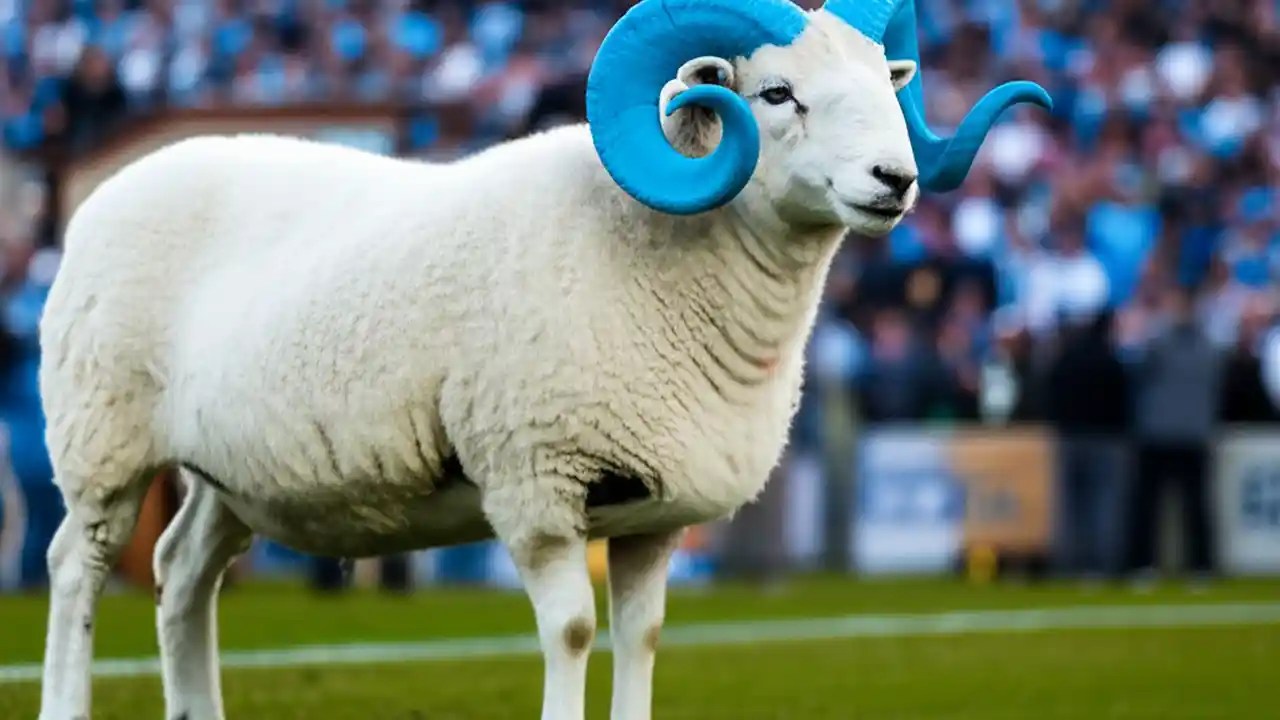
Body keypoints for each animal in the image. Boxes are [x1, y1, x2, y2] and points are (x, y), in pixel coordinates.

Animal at [35, 1, 1049, 719]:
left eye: (886, 81)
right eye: (775, 95)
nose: (895, 179)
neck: (652, 256)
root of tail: (109, 190)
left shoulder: (654, 513)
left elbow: (641, 638)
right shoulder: (539, 486)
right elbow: (569, 632)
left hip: (229, 477)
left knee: (180, 575)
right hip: (101, 444)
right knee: (76, 567)